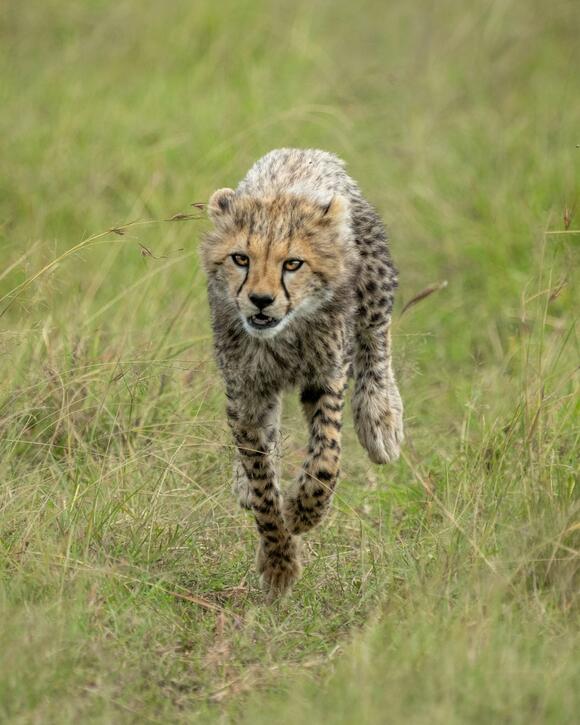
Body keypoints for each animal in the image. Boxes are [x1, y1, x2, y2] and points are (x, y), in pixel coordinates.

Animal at [201, 148, 403, 600]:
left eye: (292, 264)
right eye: (241, 258)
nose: (260, 300)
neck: (281, 337)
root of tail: (303, 152)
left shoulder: (326, 375)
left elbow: (326, 460)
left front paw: (301, 512)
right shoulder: (246, 392)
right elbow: (262, 483)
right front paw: (279, 561)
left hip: (374, 283)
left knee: (377, 338)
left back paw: (381, 418)